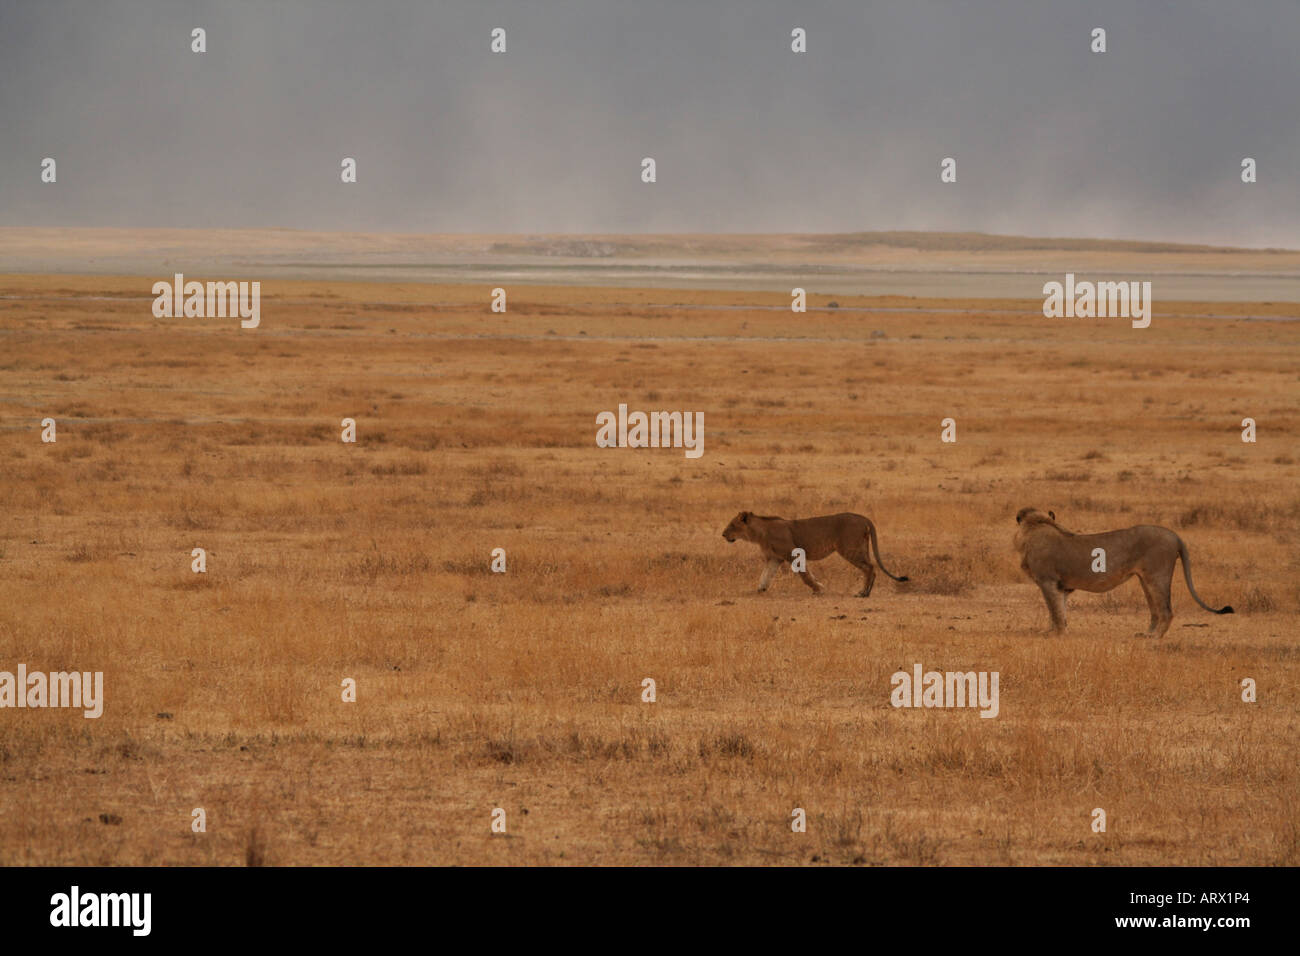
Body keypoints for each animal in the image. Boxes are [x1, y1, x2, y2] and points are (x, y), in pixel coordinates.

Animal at [722, 511, 909, 596]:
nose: (723, 535)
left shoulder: (793, 554)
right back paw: (867, 592)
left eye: (732, 525)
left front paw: (818, 588)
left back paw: (862, 593)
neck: (760, 534)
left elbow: (805, 575)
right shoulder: (774, 559)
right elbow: (766, 575)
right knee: (871, 568)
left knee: (869, 568)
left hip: (850, 549)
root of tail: (862, 517)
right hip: (861, 548)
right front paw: (760, 589)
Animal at [1013, 507, 1232, 638]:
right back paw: (1146, 634)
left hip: (1157, 576)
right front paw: (1058, 631)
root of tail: (1175, 536)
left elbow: (1054, 611)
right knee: (1155, 611)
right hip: (1145, 580)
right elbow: (1060, 610)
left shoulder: (1048, 582)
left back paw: (1154, 639)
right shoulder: (1062, 587)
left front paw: (1054, 634)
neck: (1034, 530)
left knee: (1166, 611)